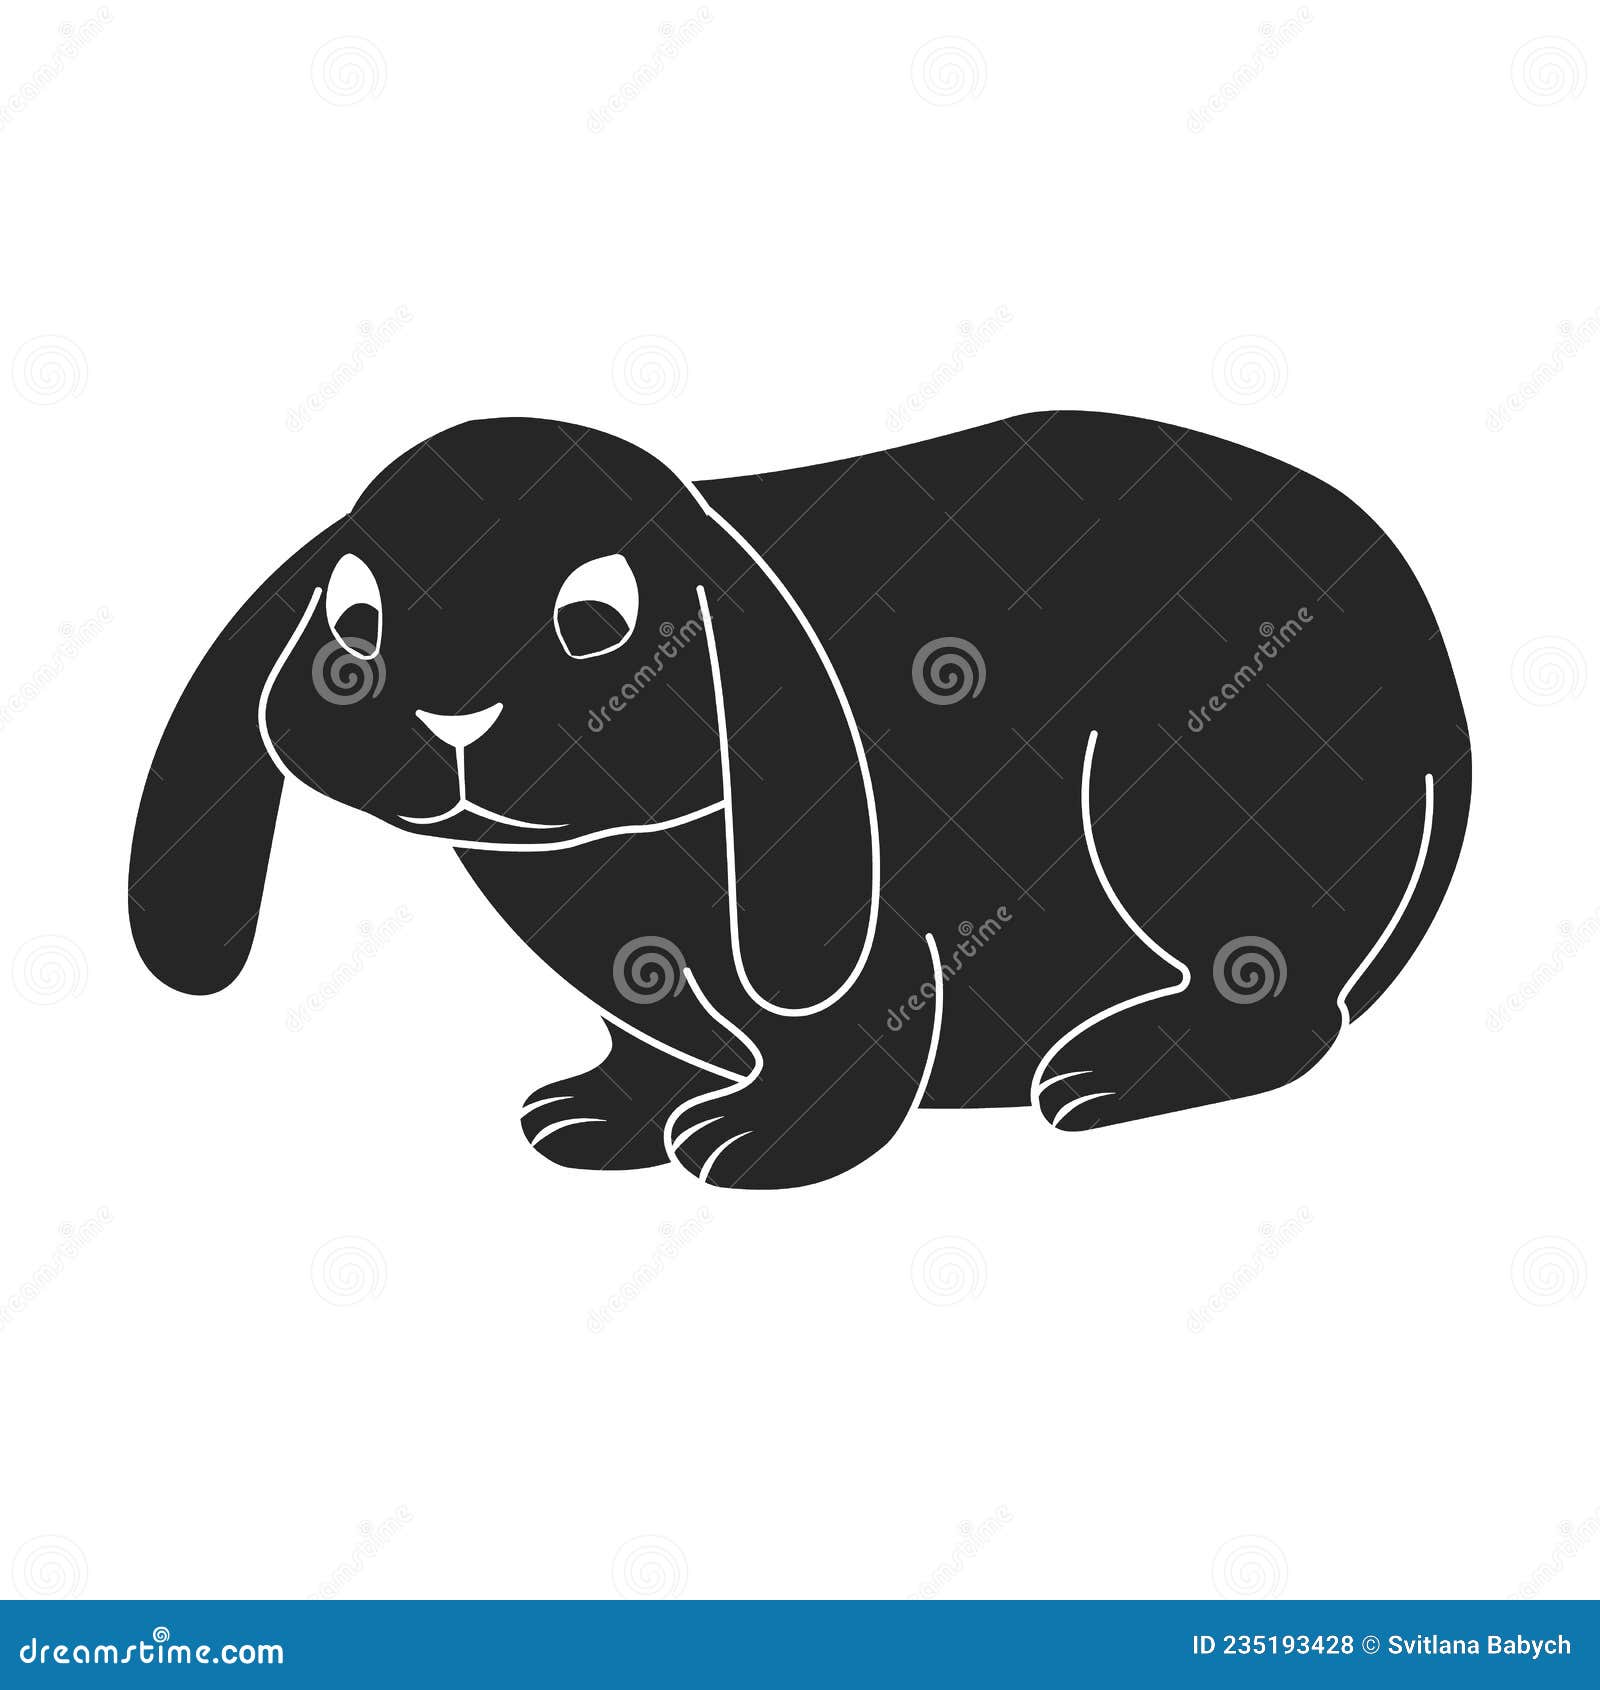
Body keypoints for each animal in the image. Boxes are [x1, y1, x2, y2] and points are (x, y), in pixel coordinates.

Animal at [129, 413, 1471, 1189]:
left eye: (596, 620)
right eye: (351, 622)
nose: (451, 720)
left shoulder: (862, 944)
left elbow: (849, 1035)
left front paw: (747, 1147)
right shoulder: (637, 985)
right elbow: (641, 1044)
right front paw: (593, 1122)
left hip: (1182, 805)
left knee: (1275, 989)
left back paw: (1109, 1073)